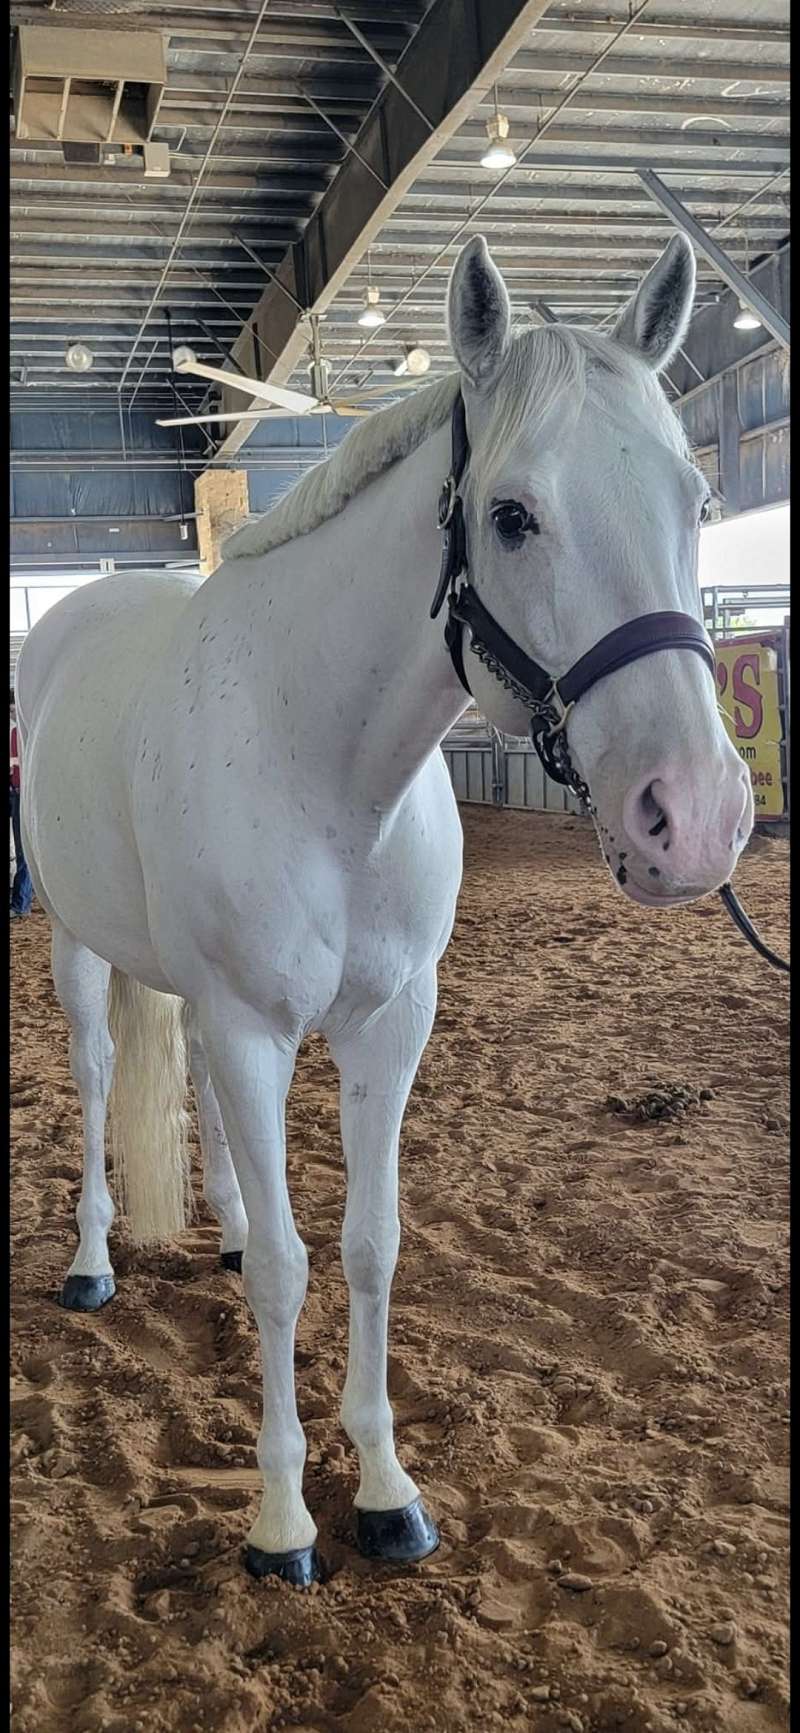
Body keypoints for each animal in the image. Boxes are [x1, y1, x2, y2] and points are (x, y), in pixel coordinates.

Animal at [15, 233, 753, 1587]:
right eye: (511, 515)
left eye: (692, 499)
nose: (694, 816)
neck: (323, 766)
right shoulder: (255, 1027)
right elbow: (291, 1270)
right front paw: (281, 1519)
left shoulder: (387, 1025)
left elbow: (368, 1245)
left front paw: (386, 1489)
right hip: (81, 950)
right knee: (94, 1081)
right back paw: (91, 1262)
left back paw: (223, 1225)